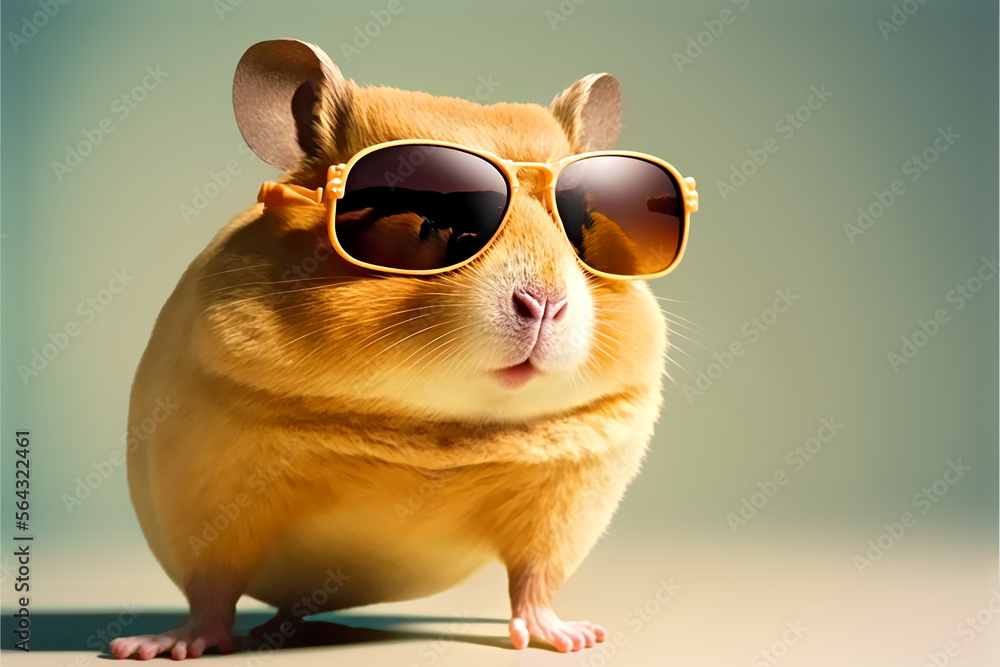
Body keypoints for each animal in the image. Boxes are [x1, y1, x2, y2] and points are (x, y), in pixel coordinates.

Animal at [110, 38, 667, 660]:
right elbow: (210, 588)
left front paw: (577, 640)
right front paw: (151, 648)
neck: (436, 423)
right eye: (437, 226)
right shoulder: (210, 499)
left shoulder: (566, 501)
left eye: (582, 227)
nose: (545, 304)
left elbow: (534, 581)